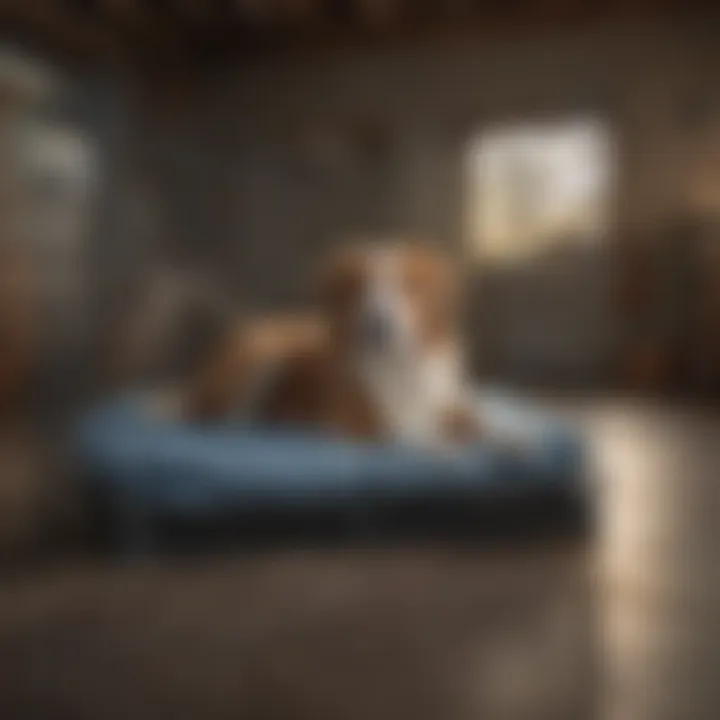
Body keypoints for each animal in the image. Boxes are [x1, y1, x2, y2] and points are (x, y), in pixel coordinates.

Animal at [186, 239, 484, 448]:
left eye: (409, 287)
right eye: (359, 287)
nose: (379, 322)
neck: (395, 362)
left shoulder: (445, 403)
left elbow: (479, 423)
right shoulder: (357, 420)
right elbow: (412, 434)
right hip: (263, 354)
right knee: (224, 419)